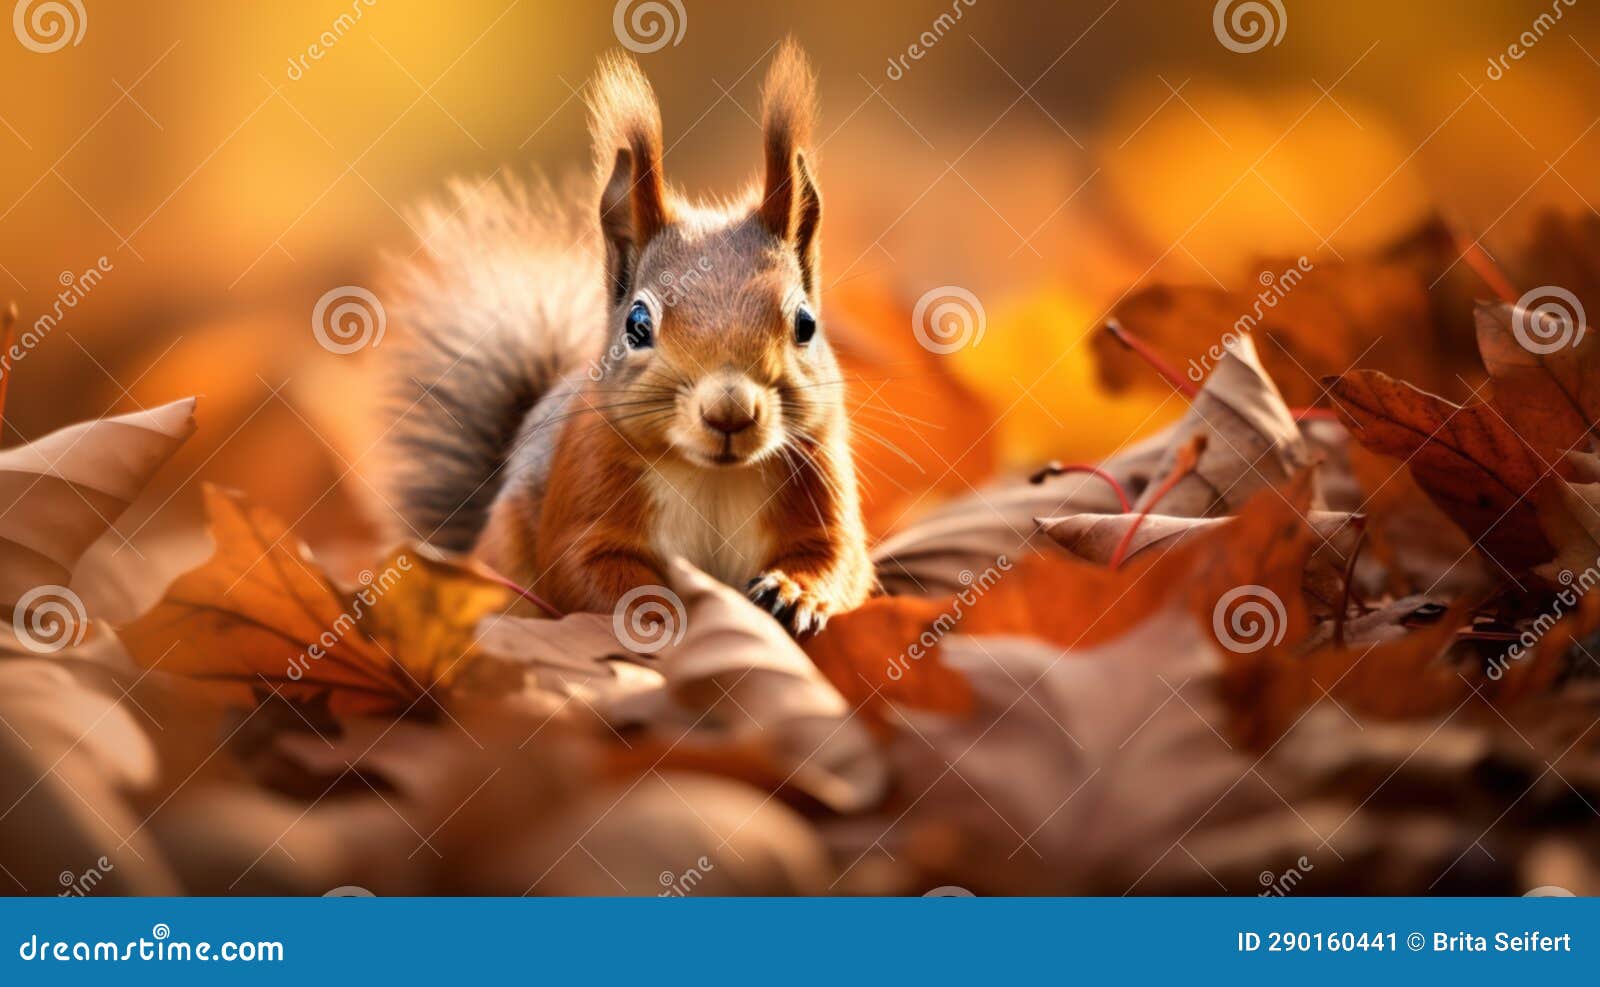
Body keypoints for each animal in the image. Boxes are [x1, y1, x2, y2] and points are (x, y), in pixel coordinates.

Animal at [380, 41, 874, 635]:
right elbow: (584, 566)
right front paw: (662, 615)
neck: (710, 475)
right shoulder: (587, 480)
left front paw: (793, 592)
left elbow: (837, 556)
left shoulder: (819, 474)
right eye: (637, 324)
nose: (729, 411)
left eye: (805, 324)